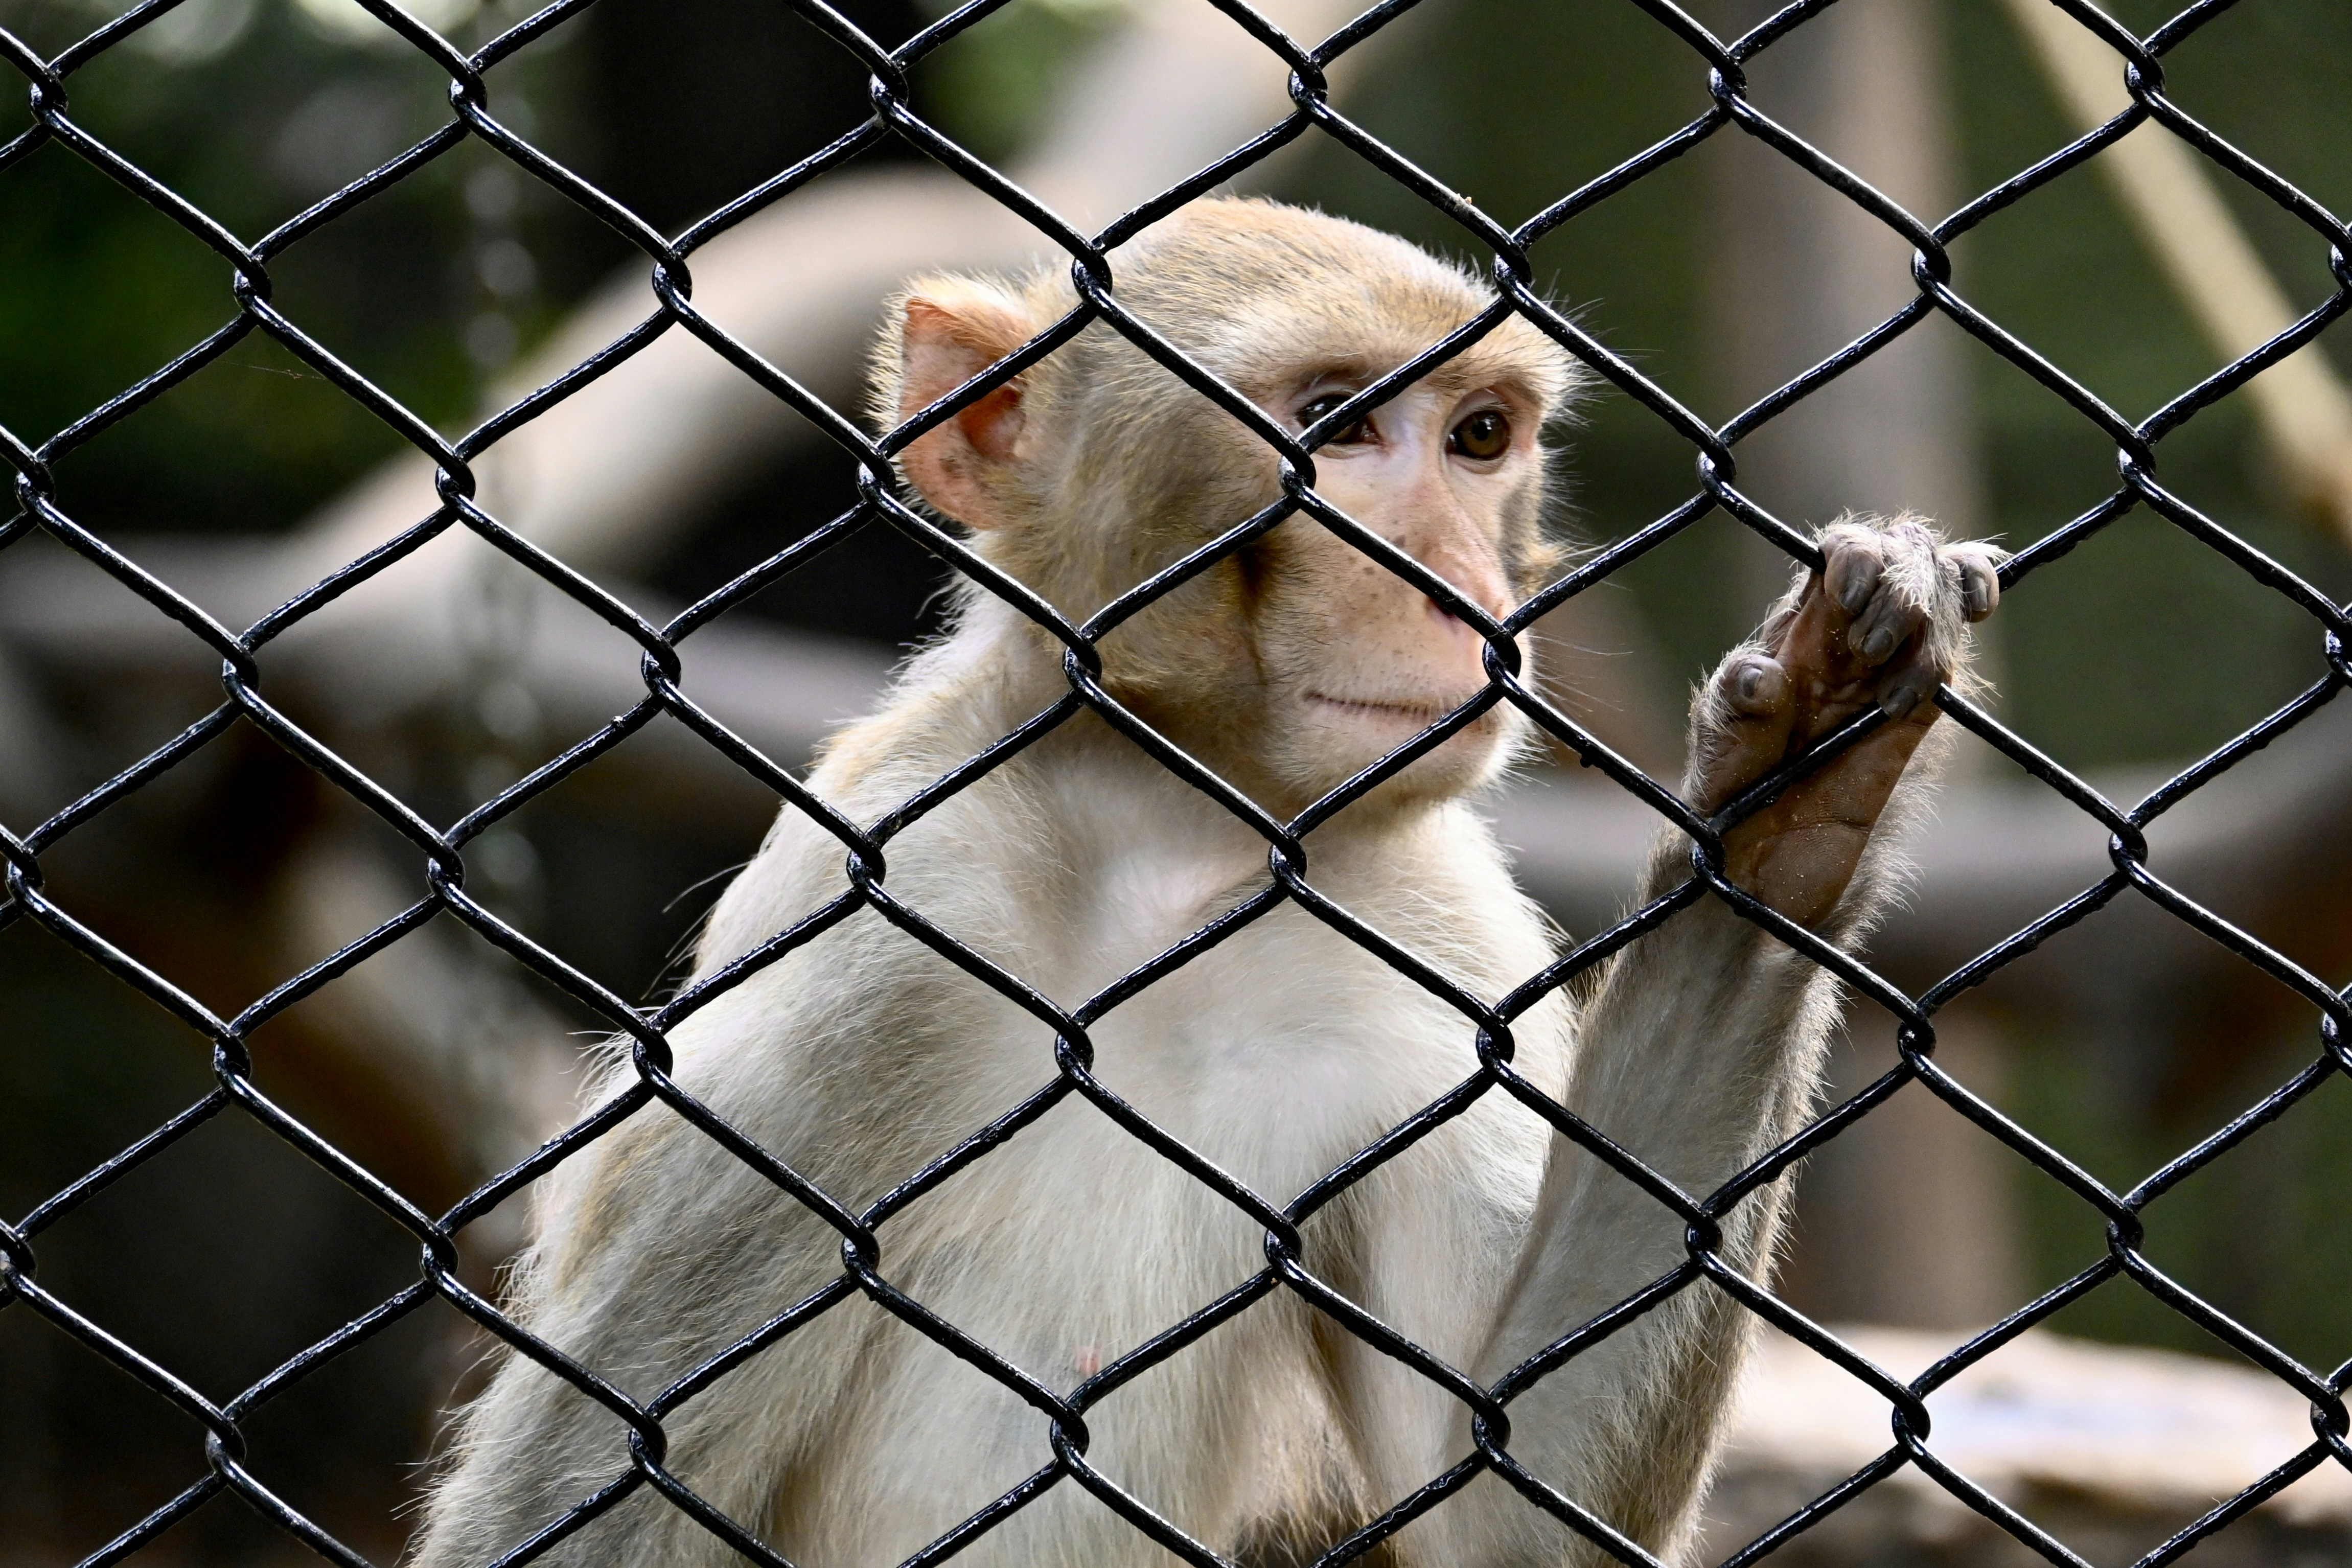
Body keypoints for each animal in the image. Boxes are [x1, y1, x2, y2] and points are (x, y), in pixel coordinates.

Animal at [408, 197, 2002, 1568]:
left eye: (1479, 435)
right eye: (1337, 427)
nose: (1451, 578)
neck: (1183, 843)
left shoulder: (1427, 914)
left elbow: (1506, 1506)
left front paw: (1796, 792)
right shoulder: (873, 934)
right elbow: (579, 1512)